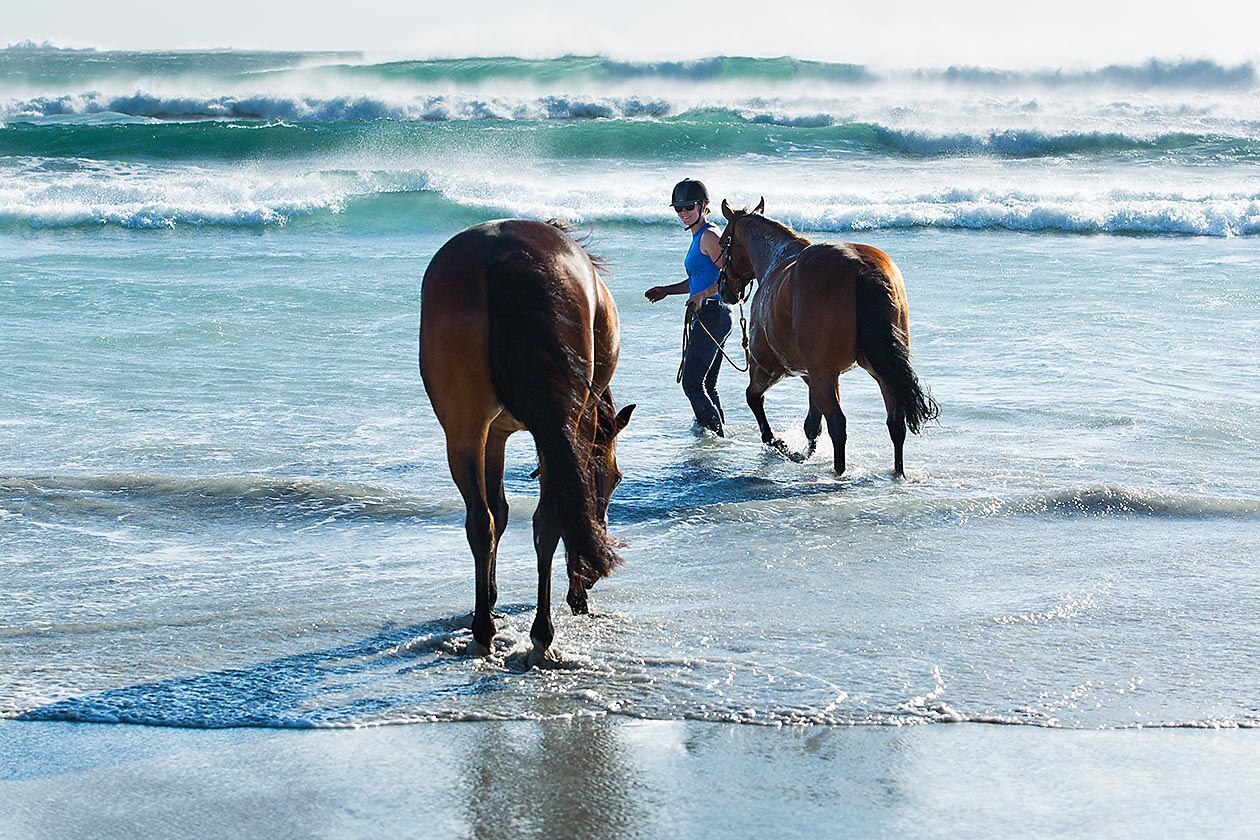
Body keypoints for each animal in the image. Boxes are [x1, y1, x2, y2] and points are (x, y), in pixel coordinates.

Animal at [419, 219, 634, 662]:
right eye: (615, 480)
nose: (588, 582)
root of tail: (503, 254)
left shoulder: (495, 433)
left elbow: (498, 514)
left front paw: (489, 599)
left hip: (464, 429)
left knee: (480, 521)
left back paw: (483, 631)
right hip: (560, 425)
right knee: (548, 519)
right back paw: (542, 636)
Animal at [717, 199, 938, 476]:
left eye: (722, 242)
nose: (723, 288)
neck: (775, 258)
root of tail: (862, 267)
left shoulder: (768, 368)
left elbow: (754, 398)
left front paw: (779, 443)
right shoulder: (813, 376)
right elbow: (812, 423)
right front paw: (804, 452)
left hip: (825, 376)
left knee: (838, 424)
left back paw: (839, 471)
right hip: (880, 371)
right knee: (895, 423)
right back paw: (897, 472)